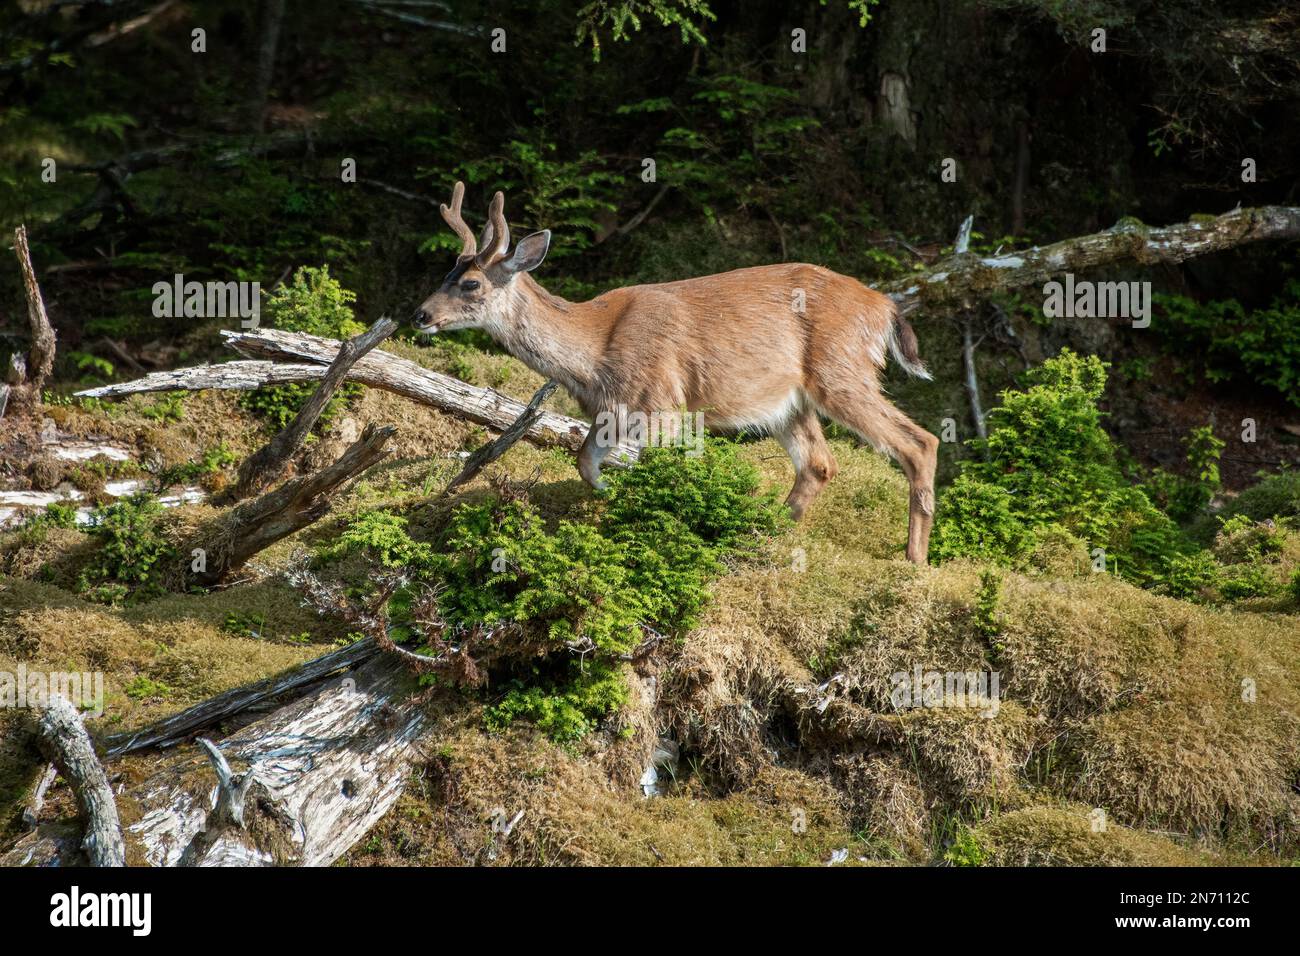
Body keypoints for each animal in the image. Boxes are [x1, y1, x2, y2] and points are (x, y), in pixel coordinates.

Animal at [411, 182, 940, 564]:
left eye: (471, 283)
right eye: (444, 273)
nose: (420, 314)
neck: (595, 353)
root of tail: (885, 306)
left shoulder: (663, 403)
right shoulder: (613, 411)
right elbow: (585, 463)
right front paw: (611, 498)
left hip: (840, 370)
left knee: (921, 441)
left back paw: (913, 558)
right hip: (788, 401)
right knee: (819, 463)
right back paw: (768, 527)